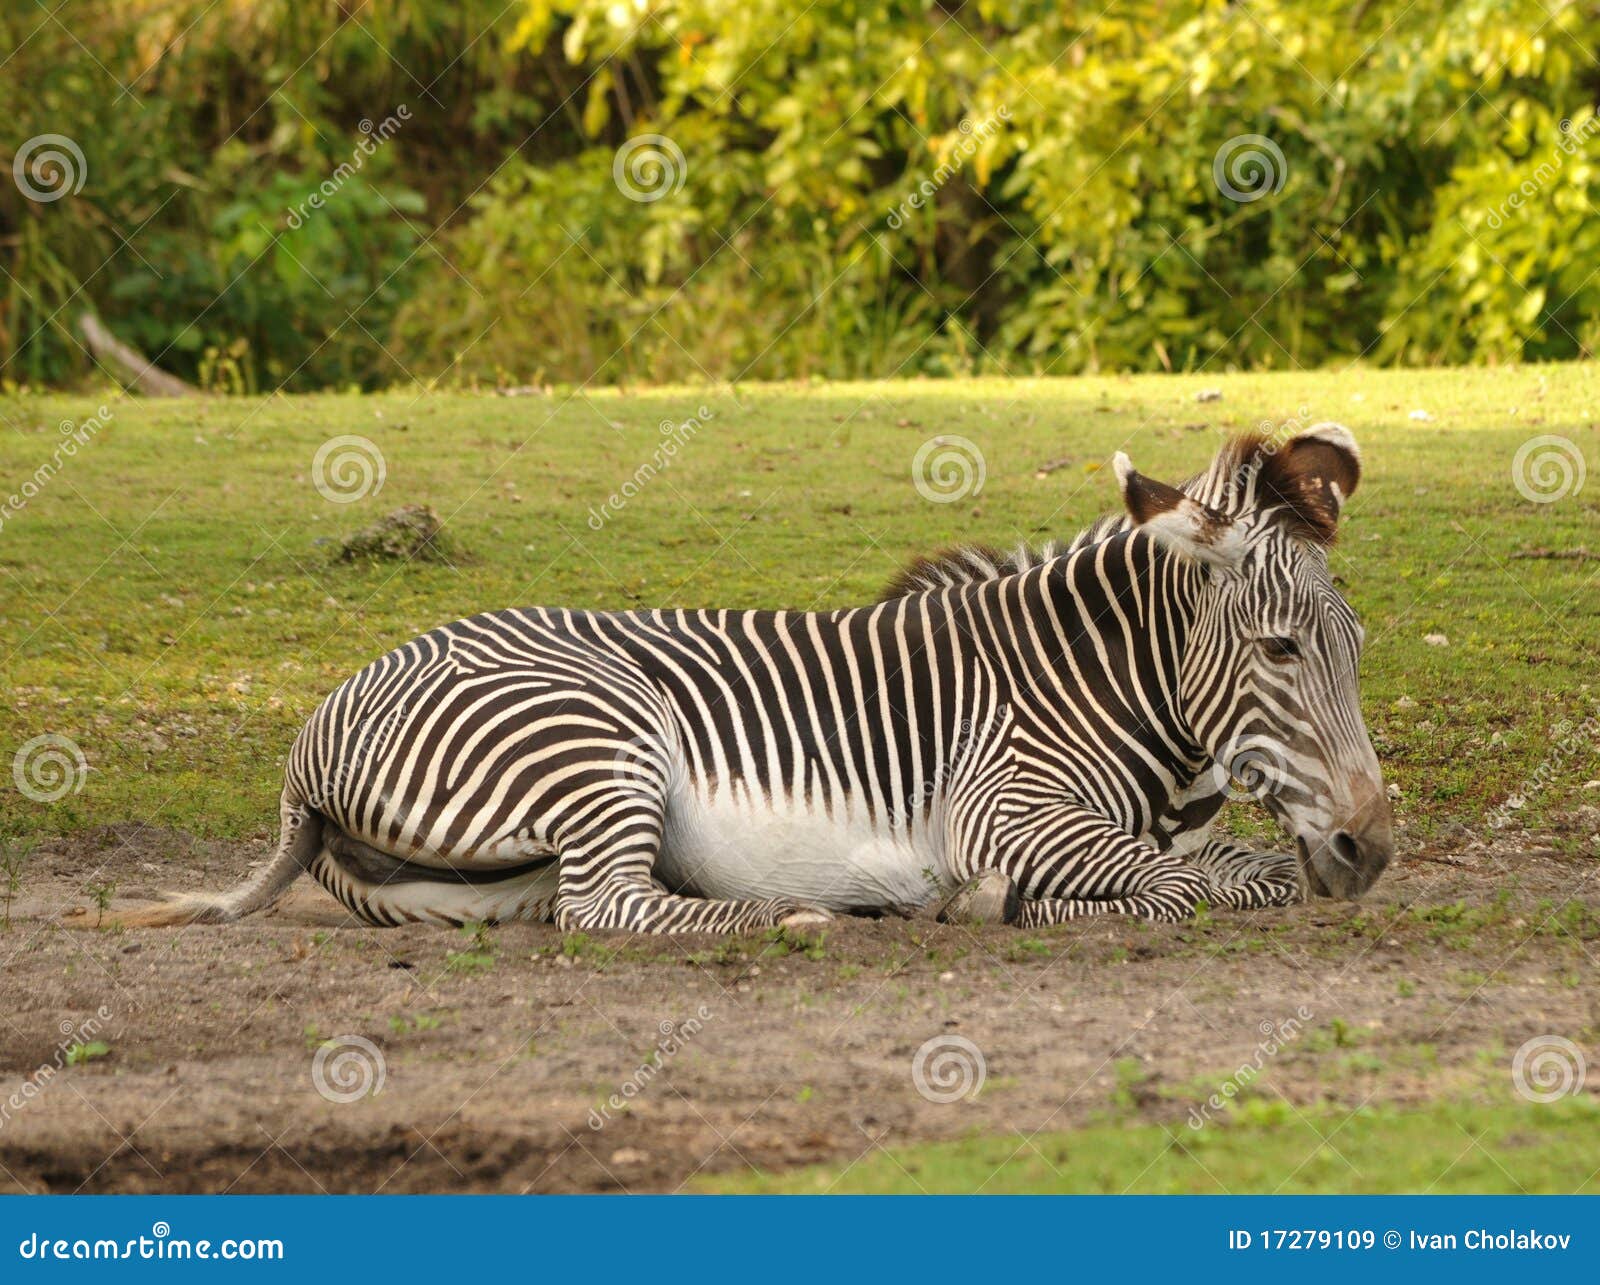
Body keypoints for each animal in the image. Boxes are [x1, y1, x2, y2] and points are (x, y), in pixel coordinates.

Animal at [119, 423, 1392, 934]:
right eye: (1280, 651)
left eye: (1355, 645)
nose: (1373, 850)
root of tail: (315, 730)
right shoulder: (1000, 810)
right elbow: (1206, 883)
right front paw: (994, 900)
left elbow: (1235, 869)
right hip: (602, 733)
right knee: (607, 908)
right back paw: (800, 912)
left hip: (481, 874)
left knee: (571, 901)